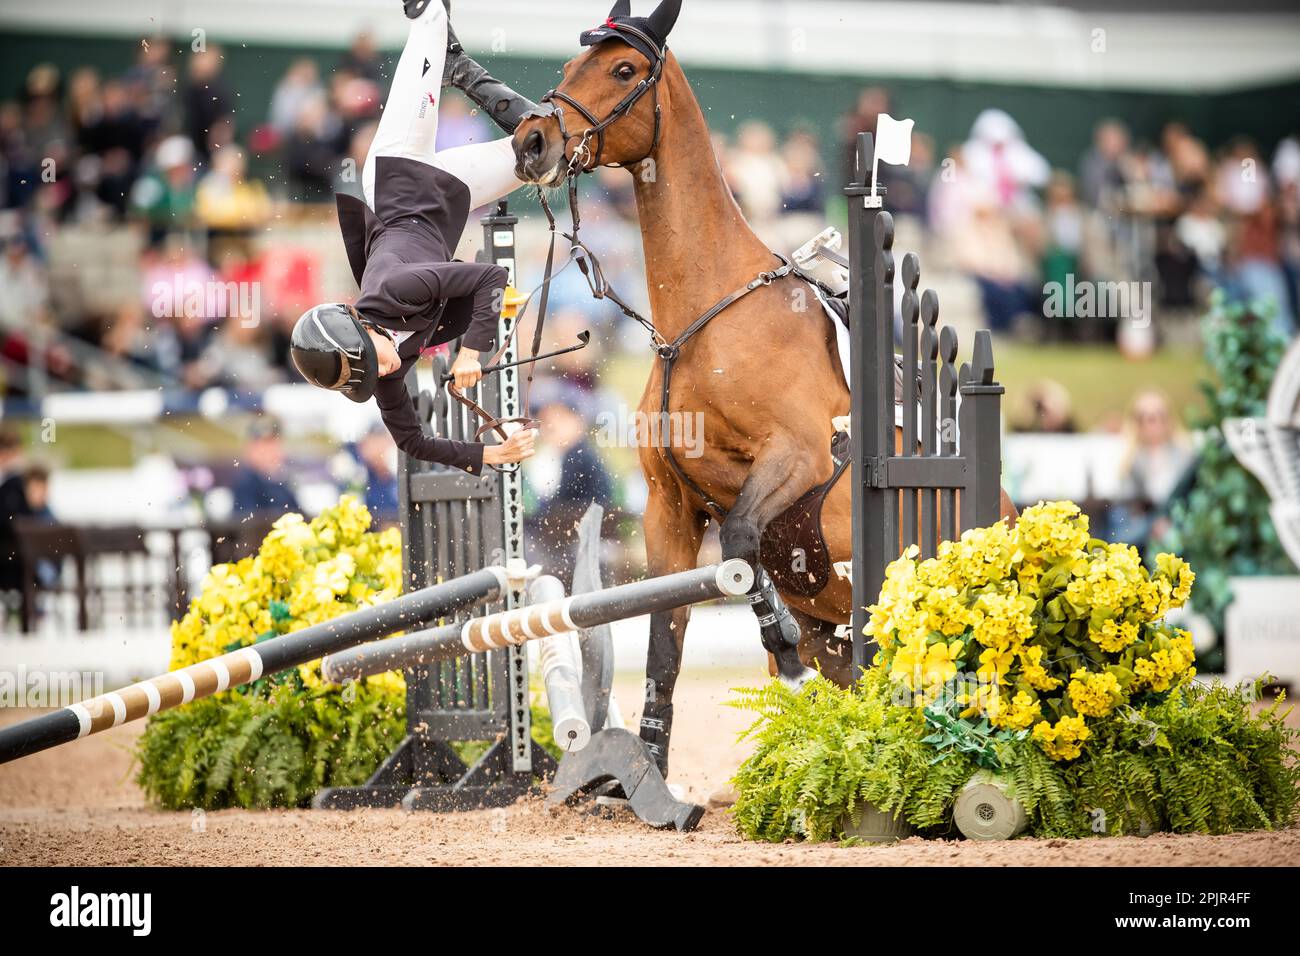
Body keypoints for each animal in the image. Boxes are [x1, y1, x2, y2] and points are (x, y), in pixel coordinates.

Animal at [511, 0, 1018, 776]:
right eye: (569, 67)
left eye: (623, 70)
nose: (530, 141)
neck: (700, 324)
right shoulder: (670, 509)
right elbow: (665, 642)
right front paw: (648, 768)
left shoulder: (795, 459)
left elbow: (745, 541)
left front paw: (777, 637)